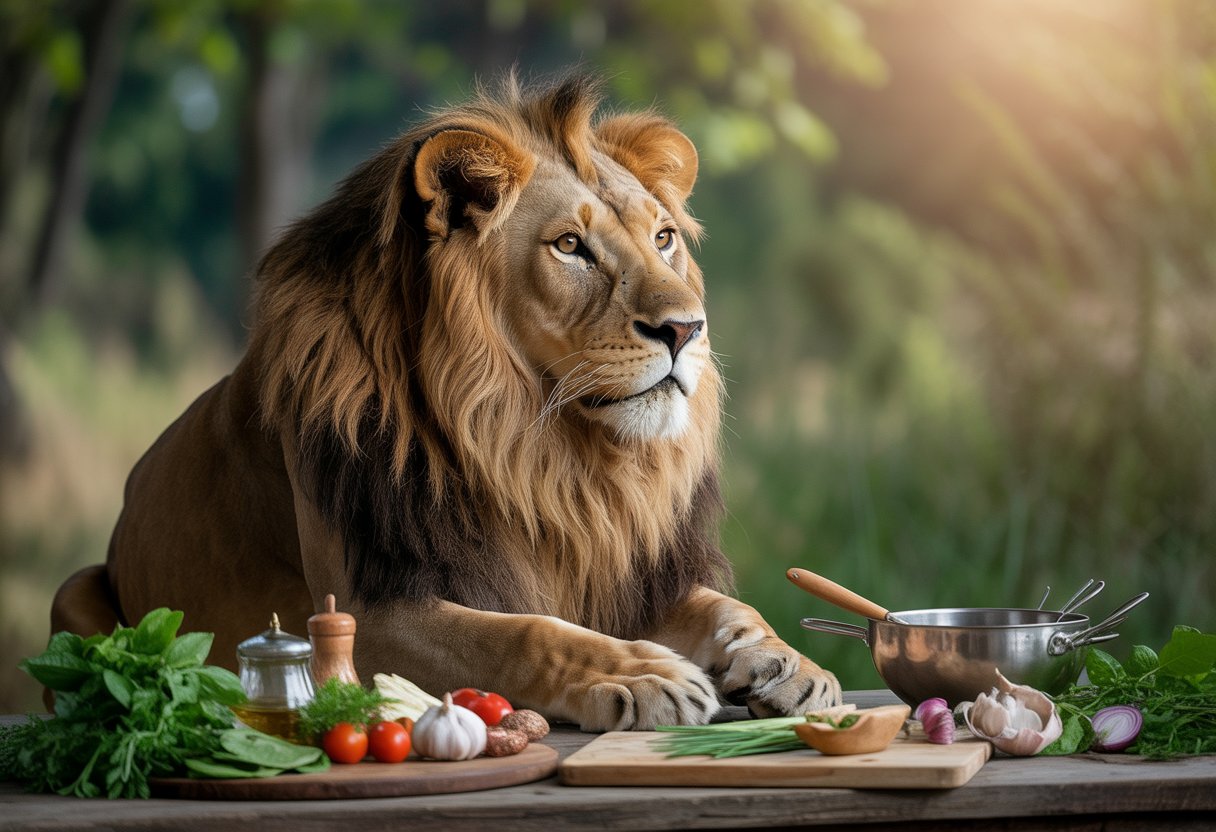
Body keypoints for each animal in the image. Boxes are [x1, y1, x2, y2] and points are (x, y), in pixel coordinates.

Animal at [50, 75, 841, 730]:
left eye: (664, 237)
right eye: (570, 246)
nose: (686, 329)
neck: (532, 448)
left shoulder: (621, 573)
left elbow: (725, 606)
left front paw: (790, 663)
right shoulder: (365, 610)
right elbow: (521, 632)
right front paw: (644, 673)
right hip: (73, 593)